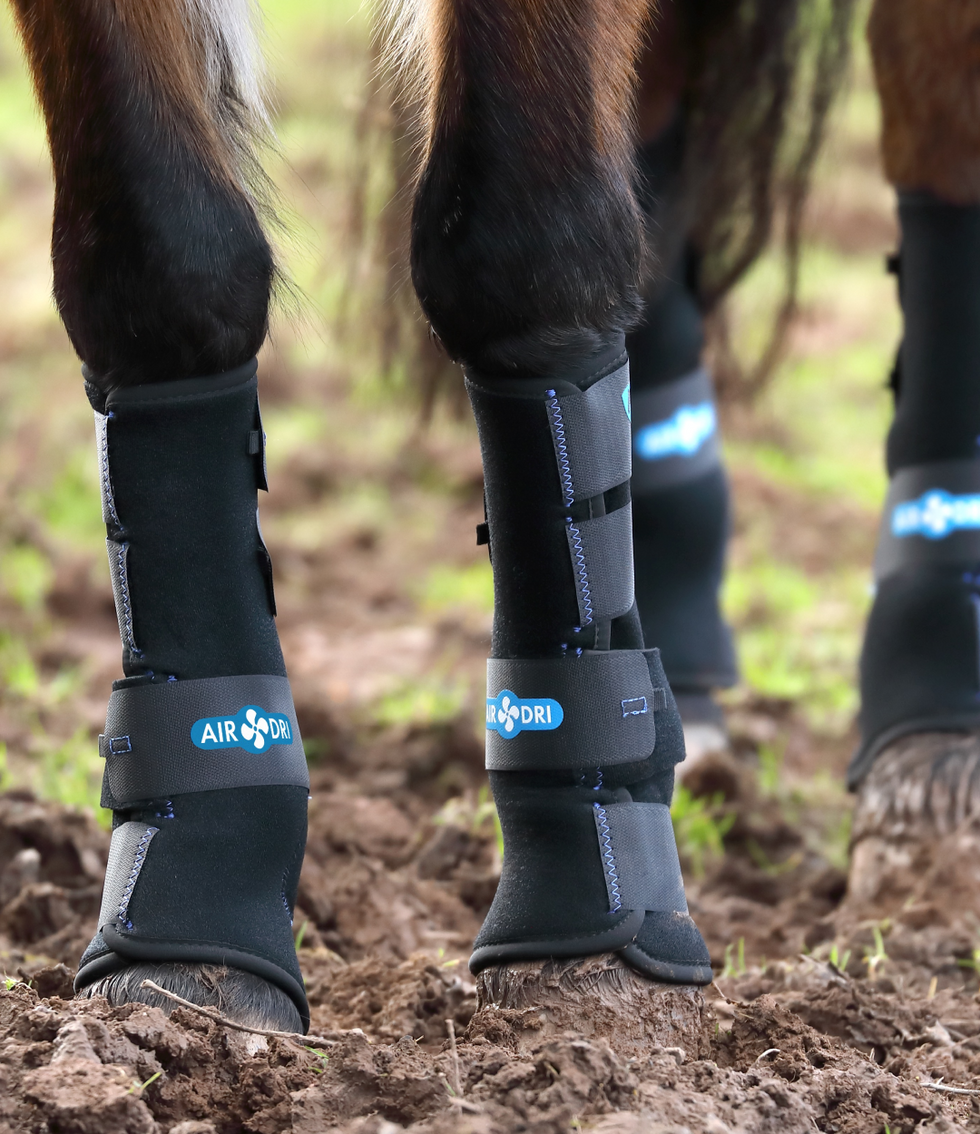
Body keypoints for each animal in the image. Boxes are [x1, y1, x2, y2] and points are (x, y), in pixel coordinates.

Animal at [6, 0, 980, 1033]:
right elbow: (159, 263)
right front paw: (192, 925)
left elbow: (521, 247)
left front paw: (587, 924)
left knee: (942, 134)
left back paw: (937, 732)